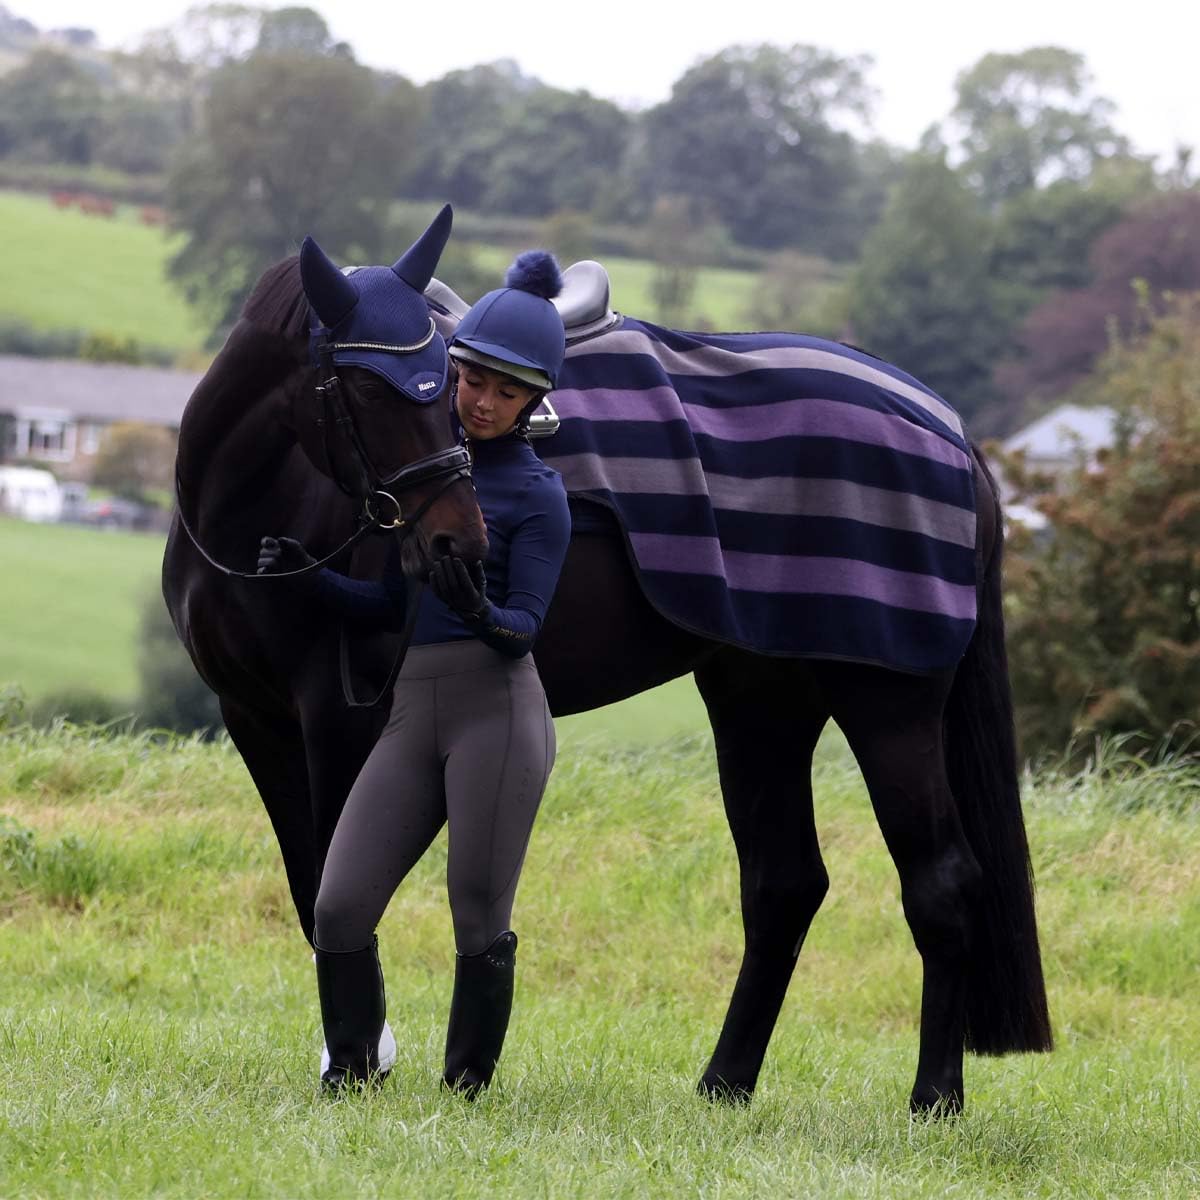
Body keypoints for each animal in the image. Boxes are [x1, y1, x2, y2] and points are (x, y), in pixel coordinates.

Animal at [164, 214, 1052, 1115]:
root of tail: (947, 428)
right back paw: (725, 1083)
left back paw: (933, 1098)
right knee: (784, 884)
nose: (455, 540)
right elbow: (314, 893)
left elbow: (340, 887)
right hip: (762, 698)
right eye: (374, 391)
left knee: (940, 882)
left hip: (888, 704)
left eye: (442, 381)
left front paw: (364, 1063)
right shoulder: (259, 722)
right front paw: (353, 1058)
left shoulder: (338, 718)